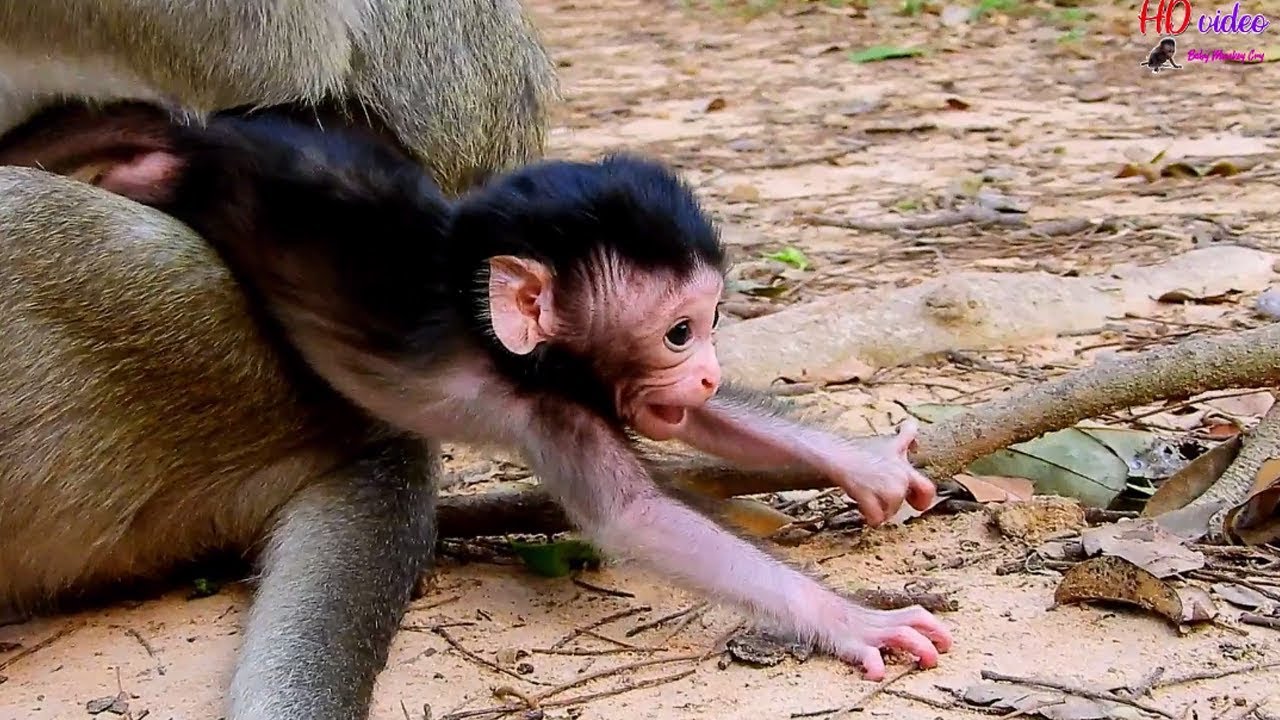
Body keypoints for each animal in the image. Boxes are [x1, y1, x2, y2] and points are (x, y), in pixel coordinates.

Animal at [0, 104, 951, 718]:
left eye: (711, 324)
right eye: (682, 331)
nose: (712, 371)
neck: (490, 325)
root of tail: (204, 134)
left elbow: (682, 426)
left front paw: (865, 466)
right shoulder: (546, 404)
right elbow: (638, 519)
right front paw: (853, 620)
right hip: (170, 178)